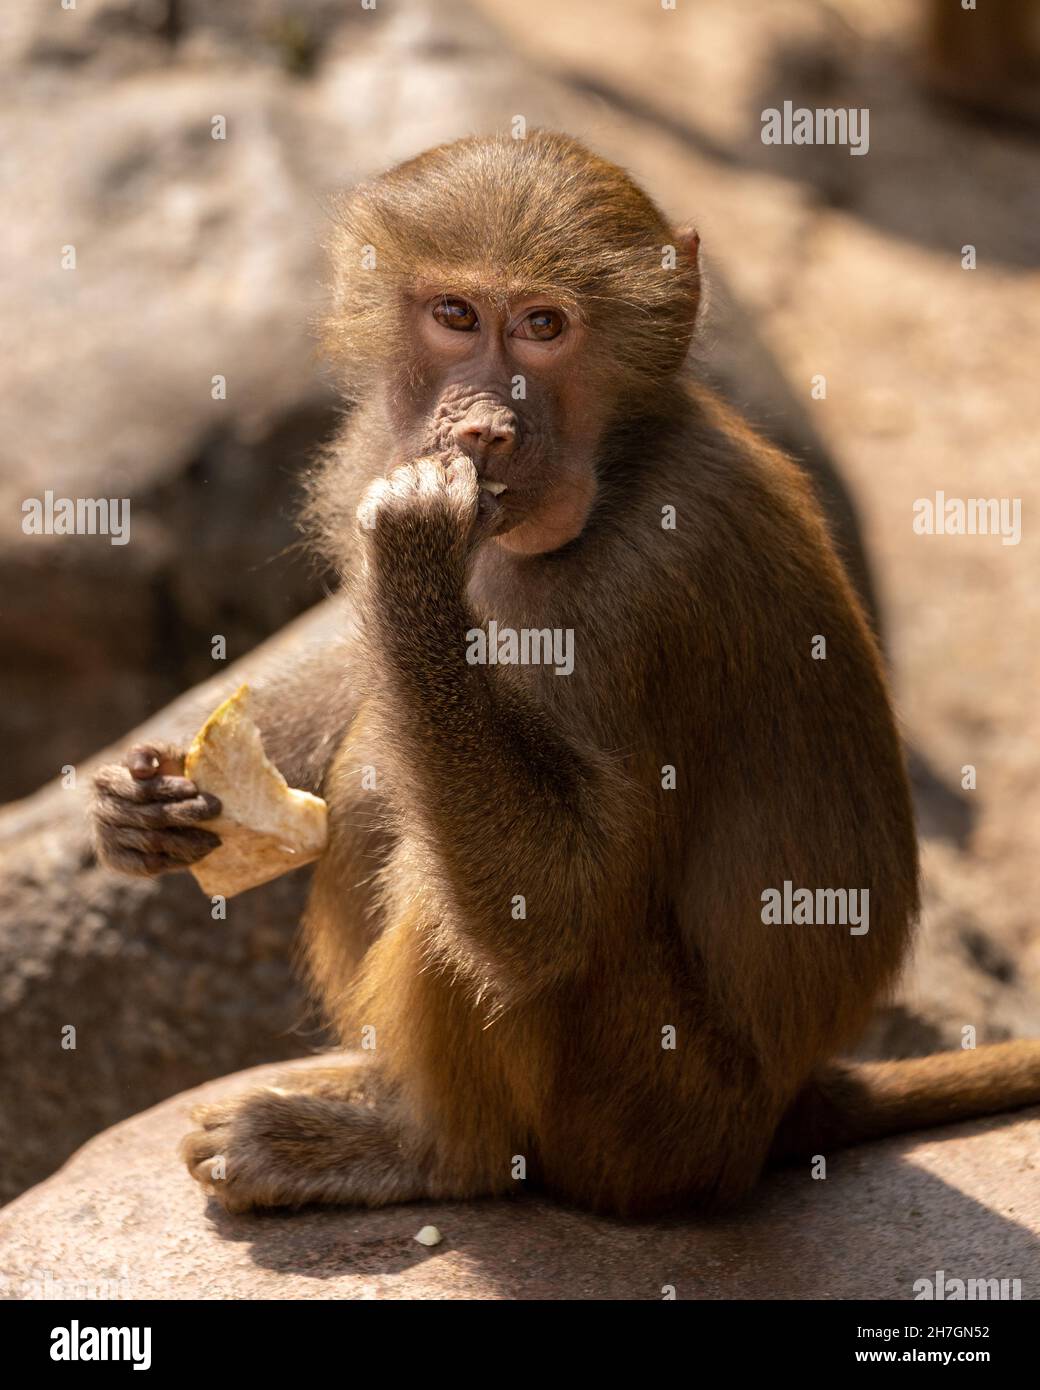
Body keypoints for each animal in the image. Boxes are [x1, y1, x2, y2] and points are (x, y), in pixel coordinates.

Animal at [92, 132, 1040, 1217]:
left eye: (544, 327)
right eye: (456, 316)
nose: (482, 429)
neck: (613, 473)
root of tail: (775, 1115)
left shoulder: (650, 585)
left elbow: (556, 909)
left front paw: (415, 555)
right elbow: (362, 659)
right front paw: (147, 798)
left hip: (644, 1116)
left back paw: (421, 1150)